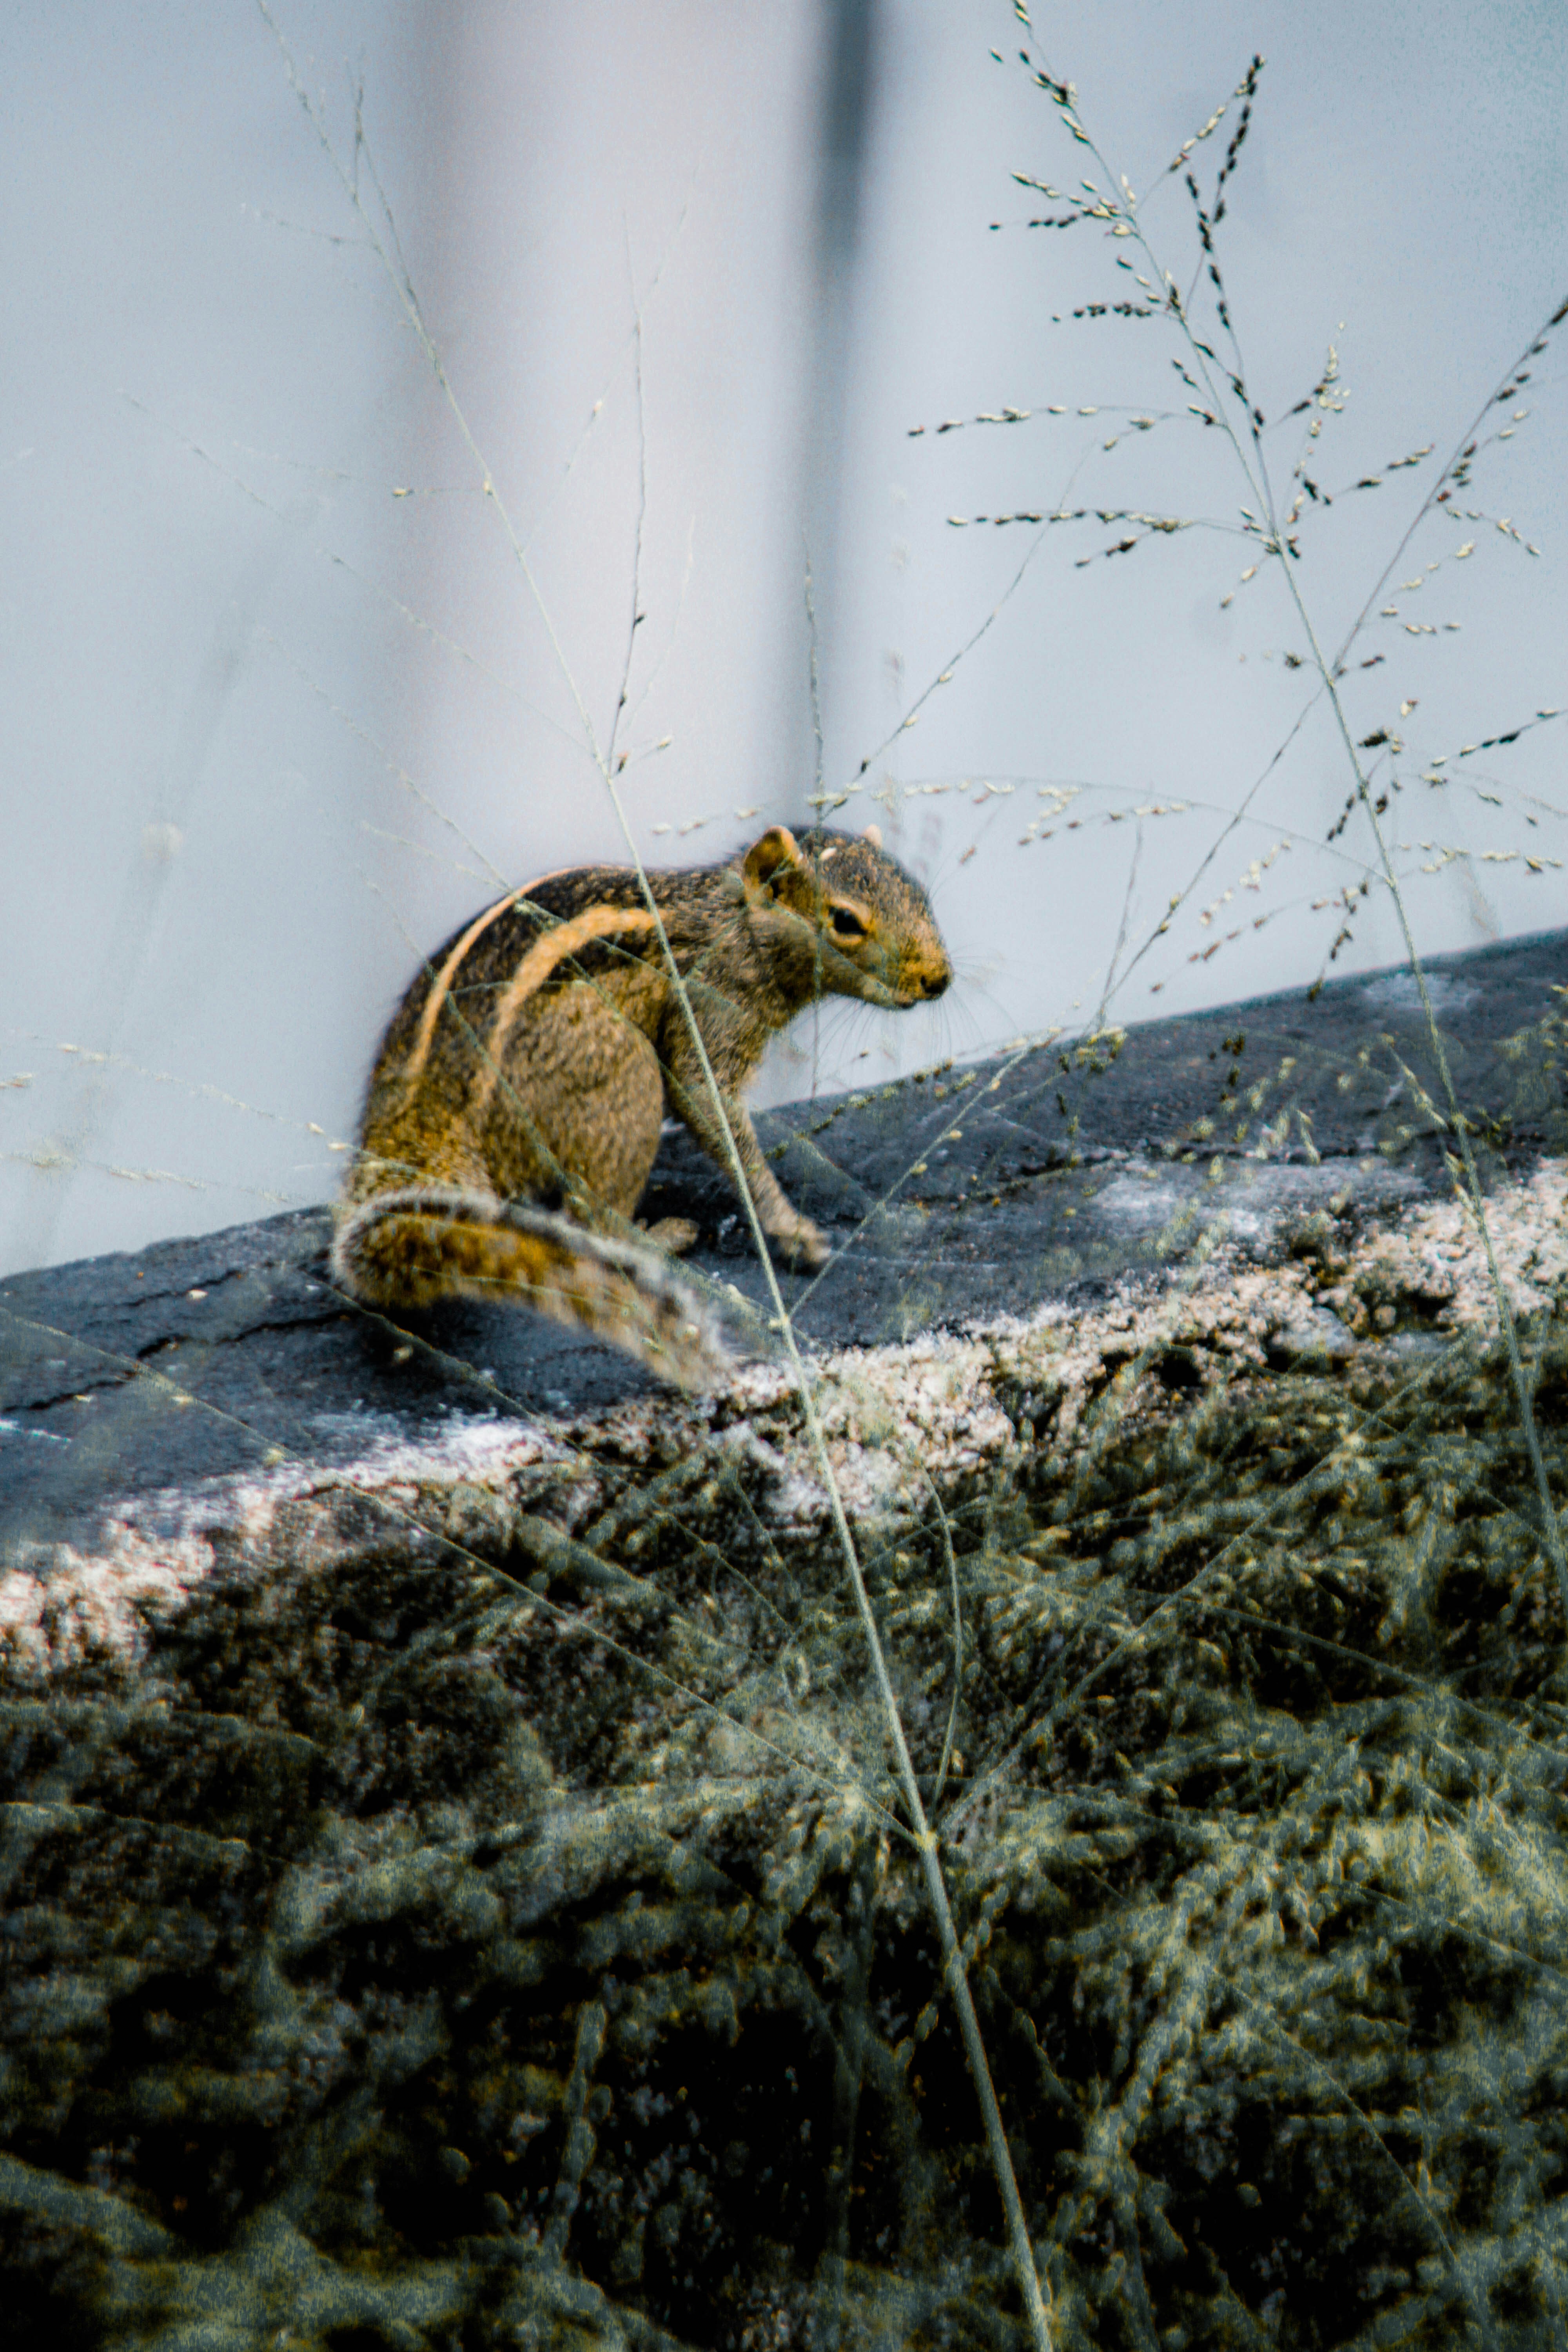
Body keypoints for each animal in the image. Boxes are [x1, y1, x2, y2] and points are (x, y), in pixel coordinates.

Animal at [332, 821, 951, 1385]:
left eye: (921, 895)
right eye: (845, 920)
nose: (938, 979)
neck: (734, 924)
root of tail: (426, 1116)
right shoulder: (711, 1010)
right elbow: (709, 1104)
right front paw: (790, 1229)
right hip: (616, 1071)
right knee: (591, 1216)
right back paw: (659, 1240)